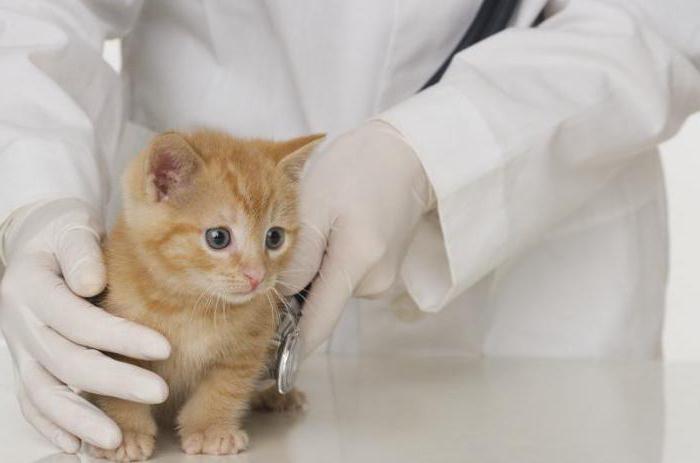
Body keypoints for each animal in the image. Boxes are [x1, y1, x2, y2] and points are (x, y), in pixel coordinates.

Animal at [85, 129, 322, 462]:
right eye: (218, 237)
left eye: (274, 237)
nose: (257, 276)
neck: (191, 304)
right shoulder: (119, 337)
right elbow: (119, 384)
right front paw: (125, 433)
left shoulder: (247, 346)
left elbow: (223, 388)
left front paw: (211, 430)